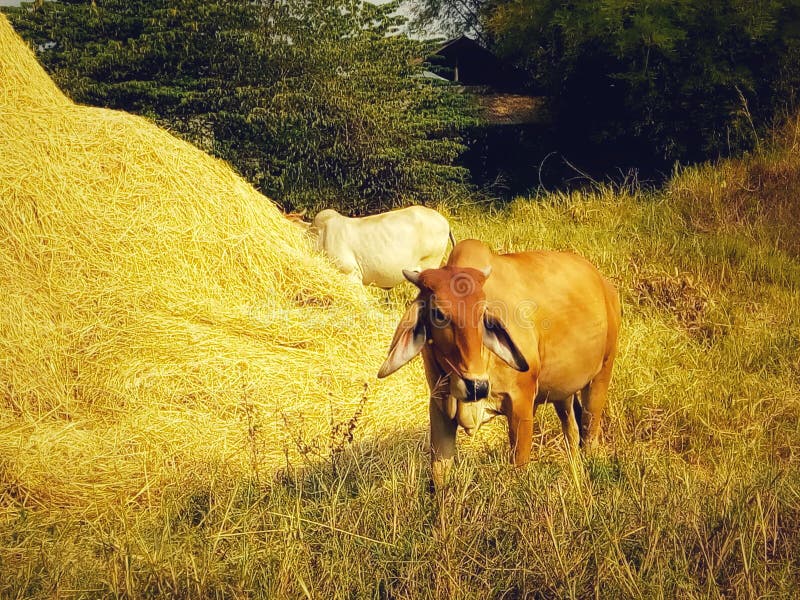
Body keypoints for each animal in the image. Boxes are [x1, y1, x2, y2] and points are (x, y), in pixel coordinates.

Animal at [378, 239, 621, 487]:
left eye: (483, 313)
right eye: (438, 313)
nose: (477, 386)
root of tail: (605, 285)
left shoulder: (521, 404)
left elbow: (519, 468)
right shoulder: (439, 407)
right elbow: (439, 475)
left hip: (601, 375)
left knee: (589, 434)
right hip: (563, 391)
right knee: (572, 429)